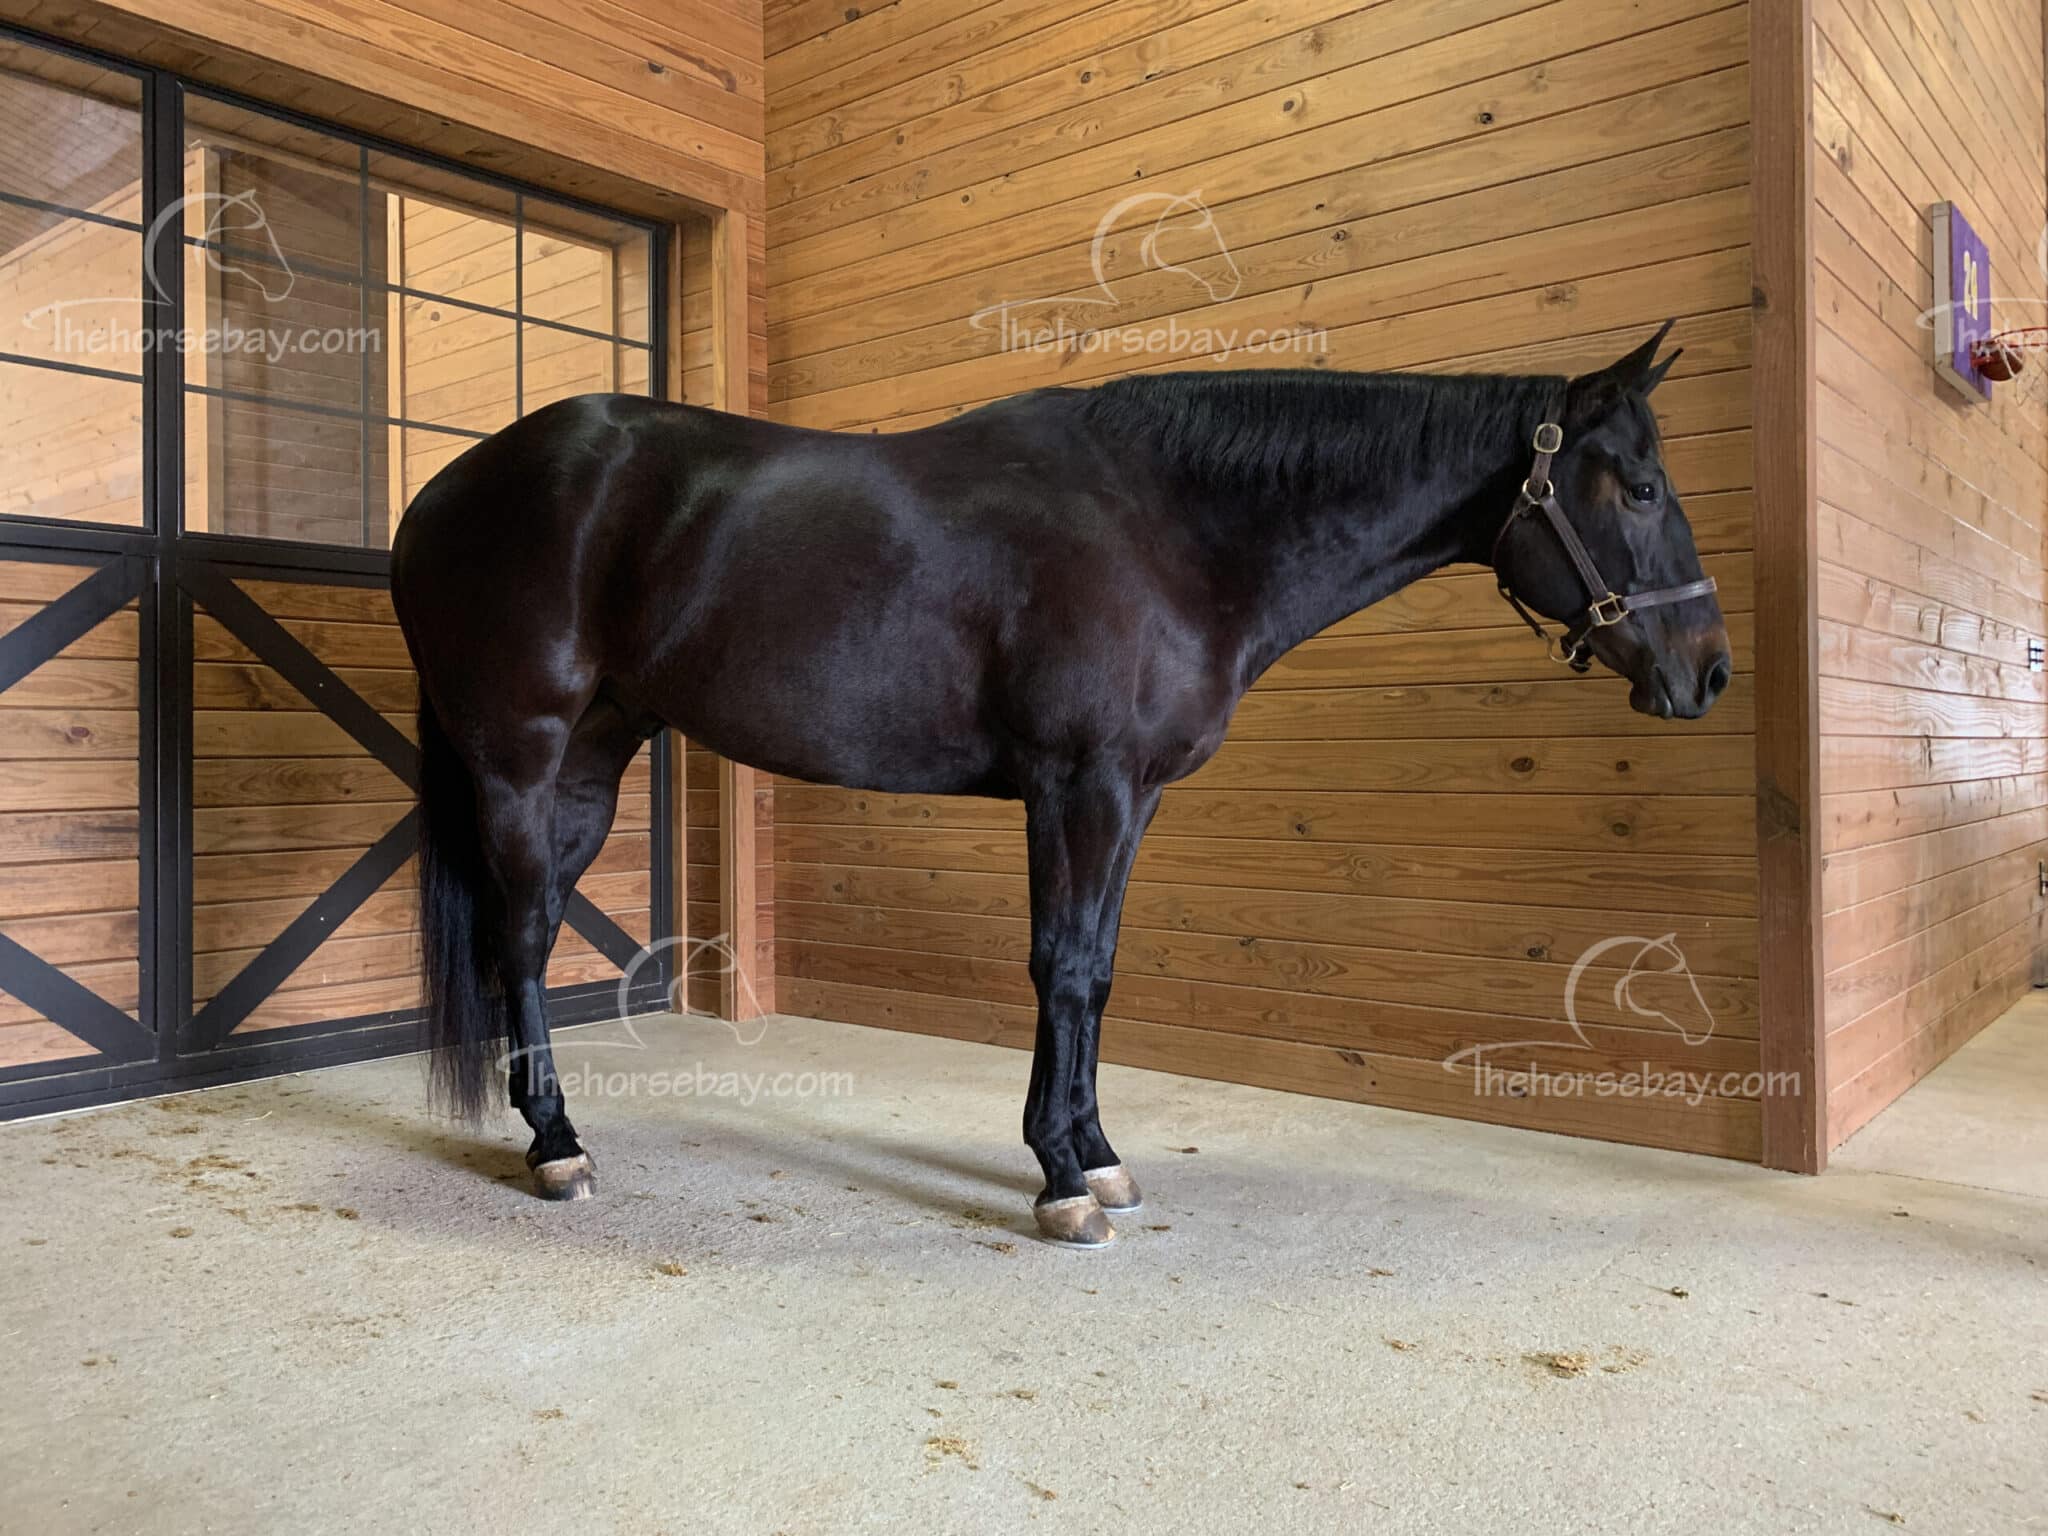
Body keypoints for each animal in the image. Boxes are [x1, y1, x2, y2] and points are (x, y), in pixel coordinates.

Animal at [390, 322, 1731, 1246]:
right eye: (1640, 487)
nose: (1705, 671)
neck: (1166, 526)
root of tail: (447, 493)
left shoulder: (1127, 797)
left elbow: (1096, 967)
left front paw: (1092, 1154)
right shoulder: (1077, 787)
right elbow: (1065, 969)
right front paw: (1056, 1179)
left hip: (593, 760)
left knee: (527, 932)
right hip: (521, 761)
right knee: (519, 940)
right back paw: (556, 1147)